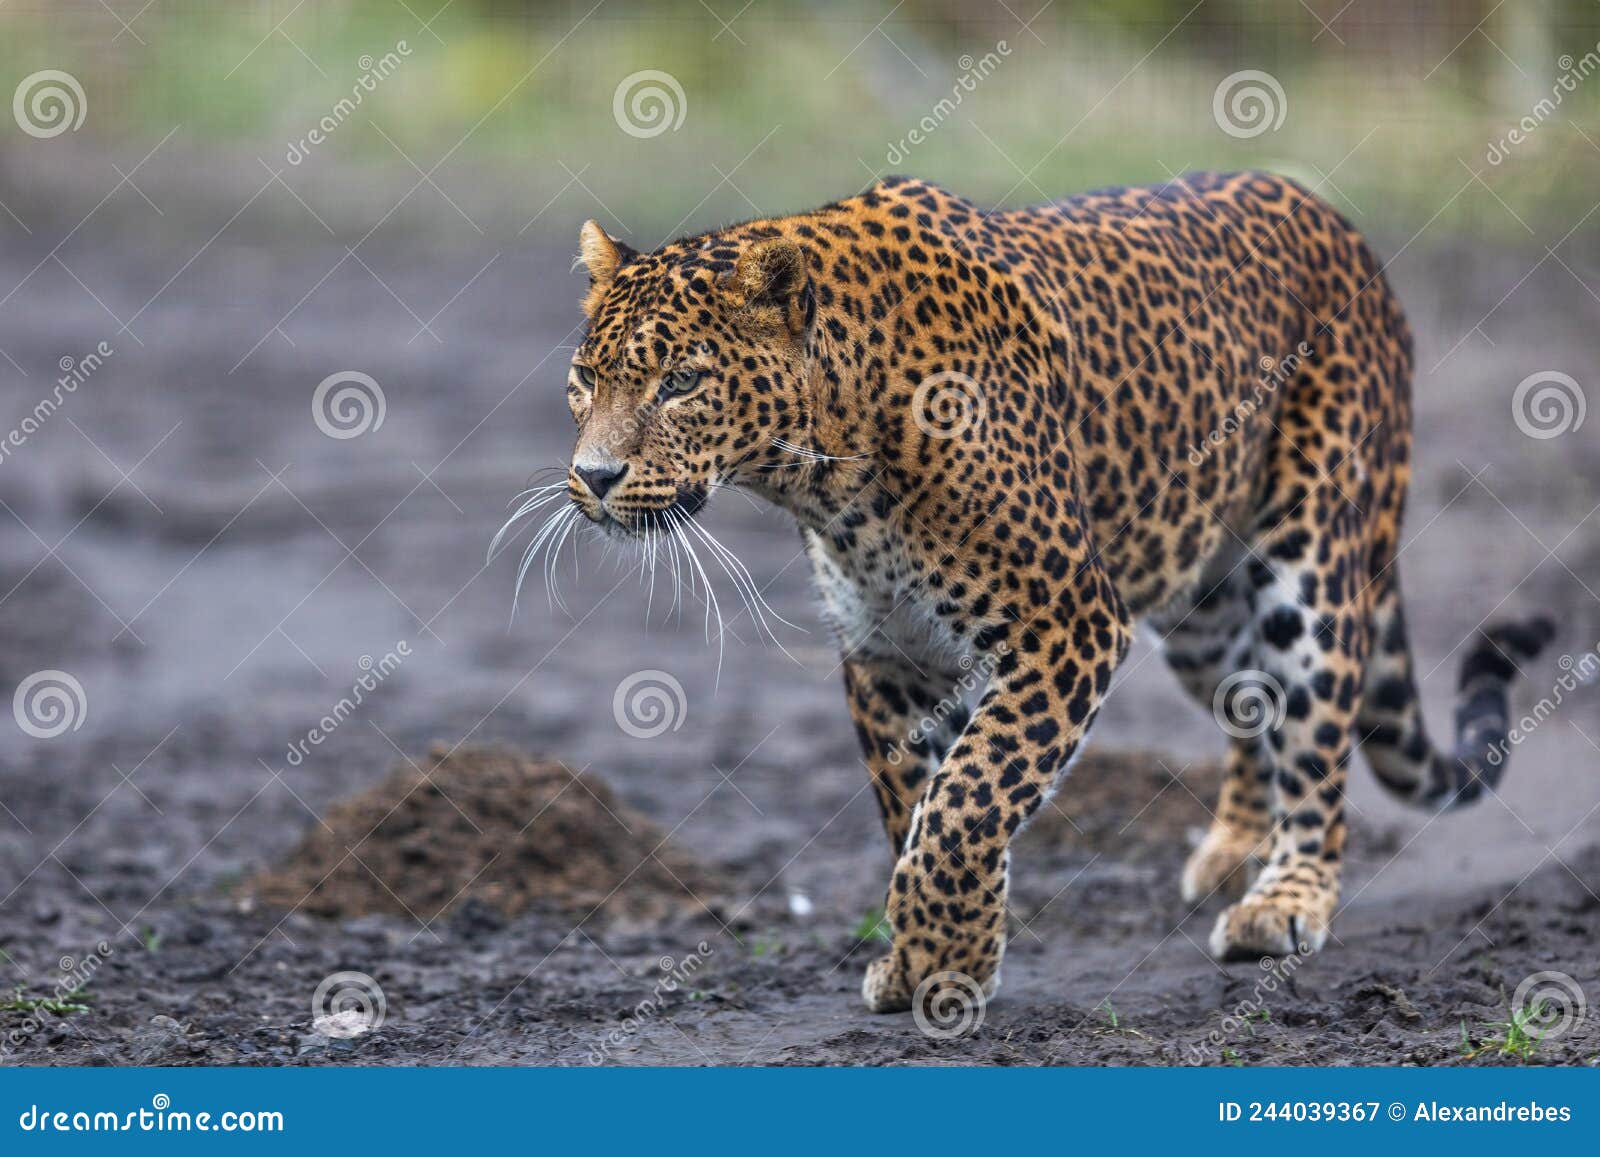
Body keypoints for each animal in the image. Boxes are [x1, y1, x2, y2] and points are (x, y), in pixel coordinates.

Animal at [539, 171, 1555, 1016]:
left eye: (681, 382)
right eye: (585, 378)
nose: (593, 477)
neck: (828, 468)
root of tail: (1331, 218)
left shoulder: (1068, 623)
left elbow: (966, 801)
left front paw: (942, 952)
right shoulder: (887, 651)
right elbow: (917, 802)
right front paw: (938, 954)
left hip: (1310, 558)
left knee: (1317, 730)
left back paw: (1285, 896)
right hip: (1199, 600)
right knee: (1249, 697)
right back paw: (1234, 848)